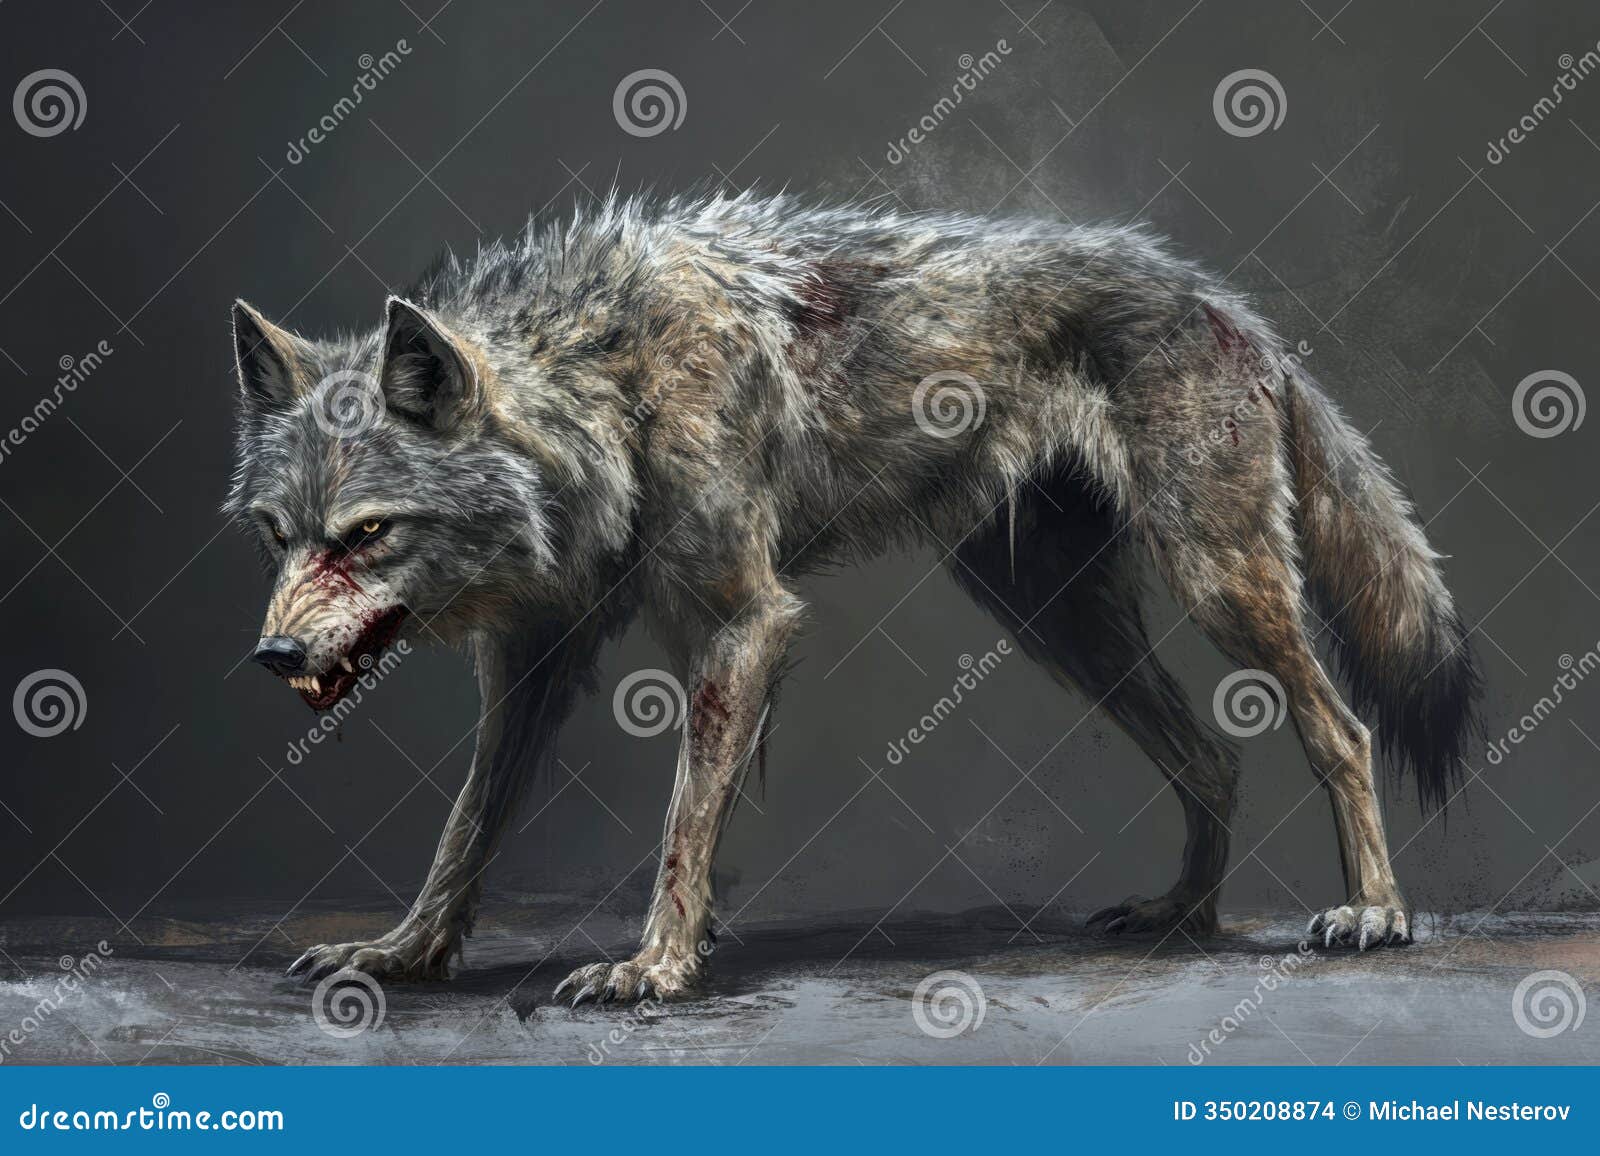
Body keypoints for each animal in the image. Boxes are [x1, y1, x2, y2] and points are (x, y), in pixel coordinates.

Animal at [227, 192, 1480, 1003]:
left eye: (368, 534)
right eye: (277, 537)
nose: (272, 659)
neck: (607, 378)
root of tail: (1236, 310)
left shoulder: (744, 623)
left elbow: (683, 821)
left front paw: (654, 966)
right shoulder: (535, 655)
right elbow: (466, 825)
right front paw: (400, 954)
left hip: (1212, 585)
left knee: (1340, 728)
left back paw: (1373, 912)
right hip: (1054, 616)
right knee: (1212, 756)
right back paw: (1181, 915)